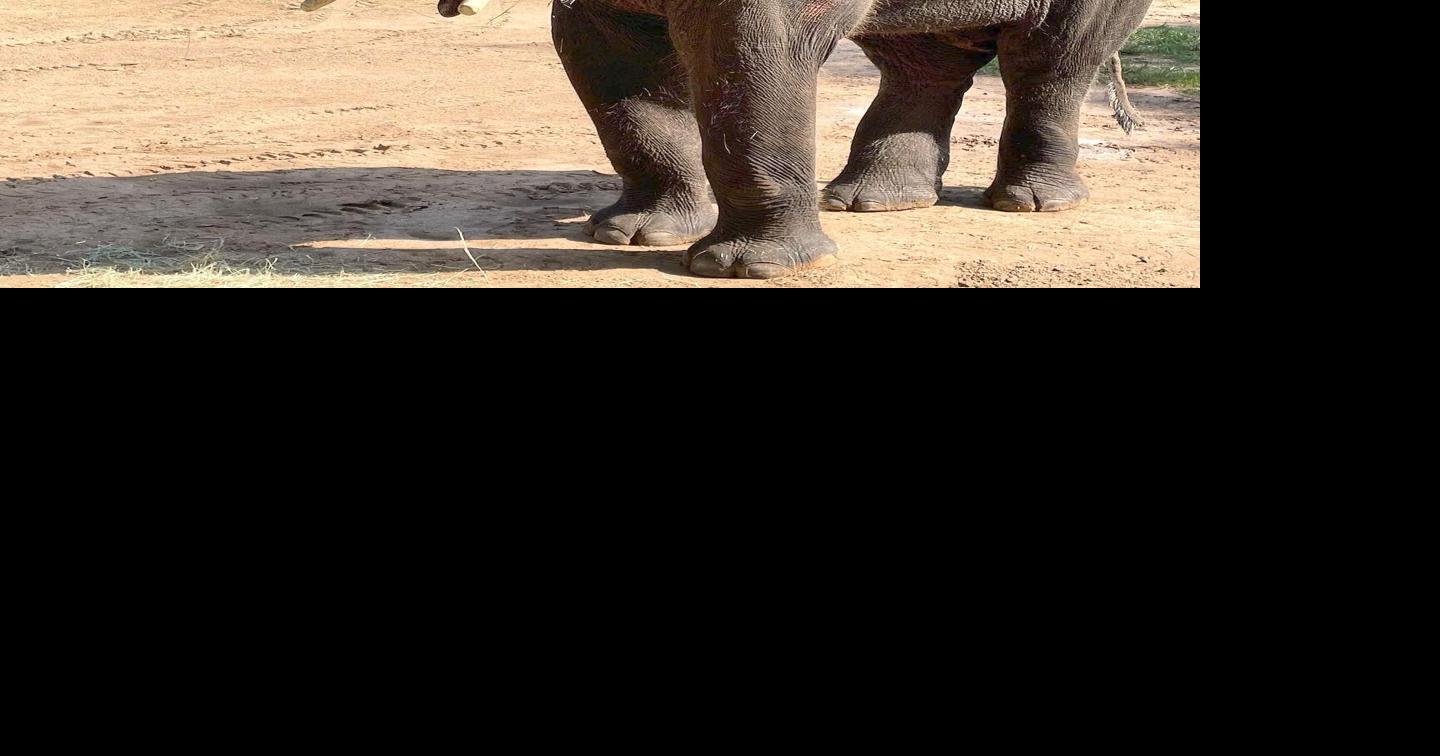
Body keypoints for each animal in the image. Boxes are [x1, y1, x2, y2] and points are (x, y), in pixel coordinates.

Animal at [439, 0, 1154, 279]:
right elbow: (607, 57)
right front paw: (626, 238)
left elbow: (754, 50)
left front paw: (745, 271)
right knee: (920, 59)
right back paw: (869, 203)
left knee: (1051, 59)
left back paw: (1034, 206)